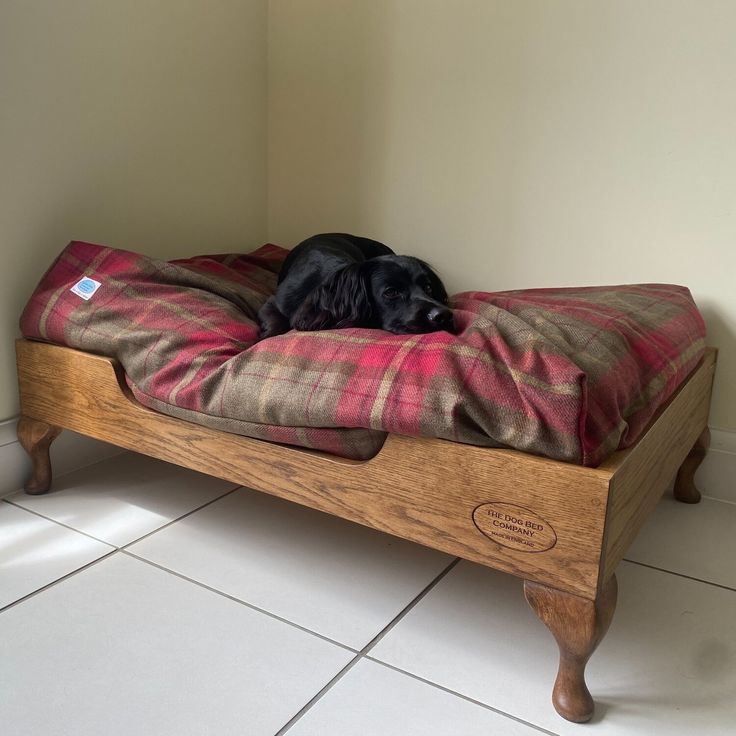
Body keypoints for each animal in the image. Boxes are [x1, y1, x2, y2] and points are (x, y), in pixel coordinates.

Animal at [258, 233, 454, 340]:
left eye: (428, 288)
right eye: (391, 292)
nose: (444, 316)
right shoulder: (273, 302)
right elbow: (276, 324)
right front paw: (264, 337)